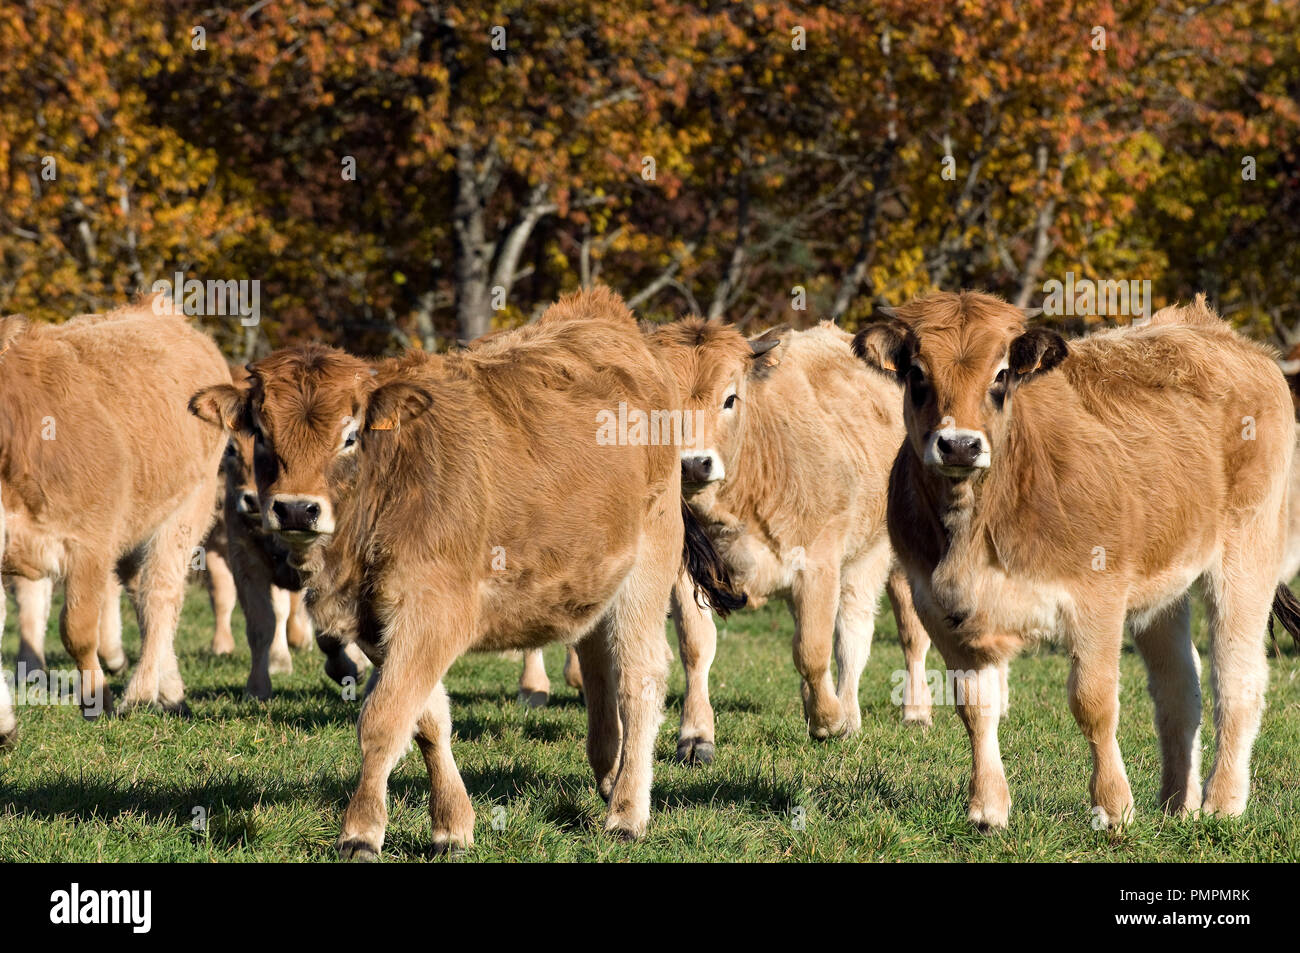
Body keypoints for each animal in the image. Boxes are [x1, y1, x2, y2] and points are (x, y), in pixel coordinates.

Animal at [0, 300, 228, 741]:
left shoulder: (90, 542)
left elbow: (77, 631)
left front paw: (98, 700)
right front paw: (4, 724)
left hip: (187, 506)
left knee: (160, 596)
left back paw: (139, 693)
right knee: (144, 594)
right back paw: (170, 691)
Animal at [189, 286, 742, 857]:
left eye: (350, 435)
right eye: (261, 434)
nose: (297, 509)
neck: (392, 479)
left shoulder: (433, 613)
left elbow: (384, 718)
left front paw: (361, 831)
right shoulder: (381, 626)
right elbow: (427, 718)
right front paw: (452, 825)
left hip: (646, 569)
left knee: (639, 678)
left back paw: (627, 811)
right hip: (591, 576)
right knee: (597, 666)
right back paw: (608, 774)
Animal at [631, 318, 933, 762]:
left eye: (730, 398)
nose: (693, 463)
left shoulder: (818, 564)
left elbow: (812, 650)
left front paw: (829, 720)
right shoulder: (686, 574)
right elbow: (696, 646)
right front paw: (696, 735)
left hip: (884, 558)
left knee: (875, 635)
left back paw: (900, 711)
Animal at [853, 290, 1300, 829]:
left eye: (1001, 375)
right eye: (918, 375)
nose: (959, 445)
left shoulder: (1097, 598)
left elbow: (1093, 702)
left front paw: (1113, 807)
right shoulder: (939, 607)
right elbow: (974, 707)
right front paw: (987, 807)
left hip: (1247, 555)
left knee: (1236, 678)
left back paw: (1222, 802)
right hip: (1162, 586)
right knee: (1179, 687)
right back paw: (1177, 803)